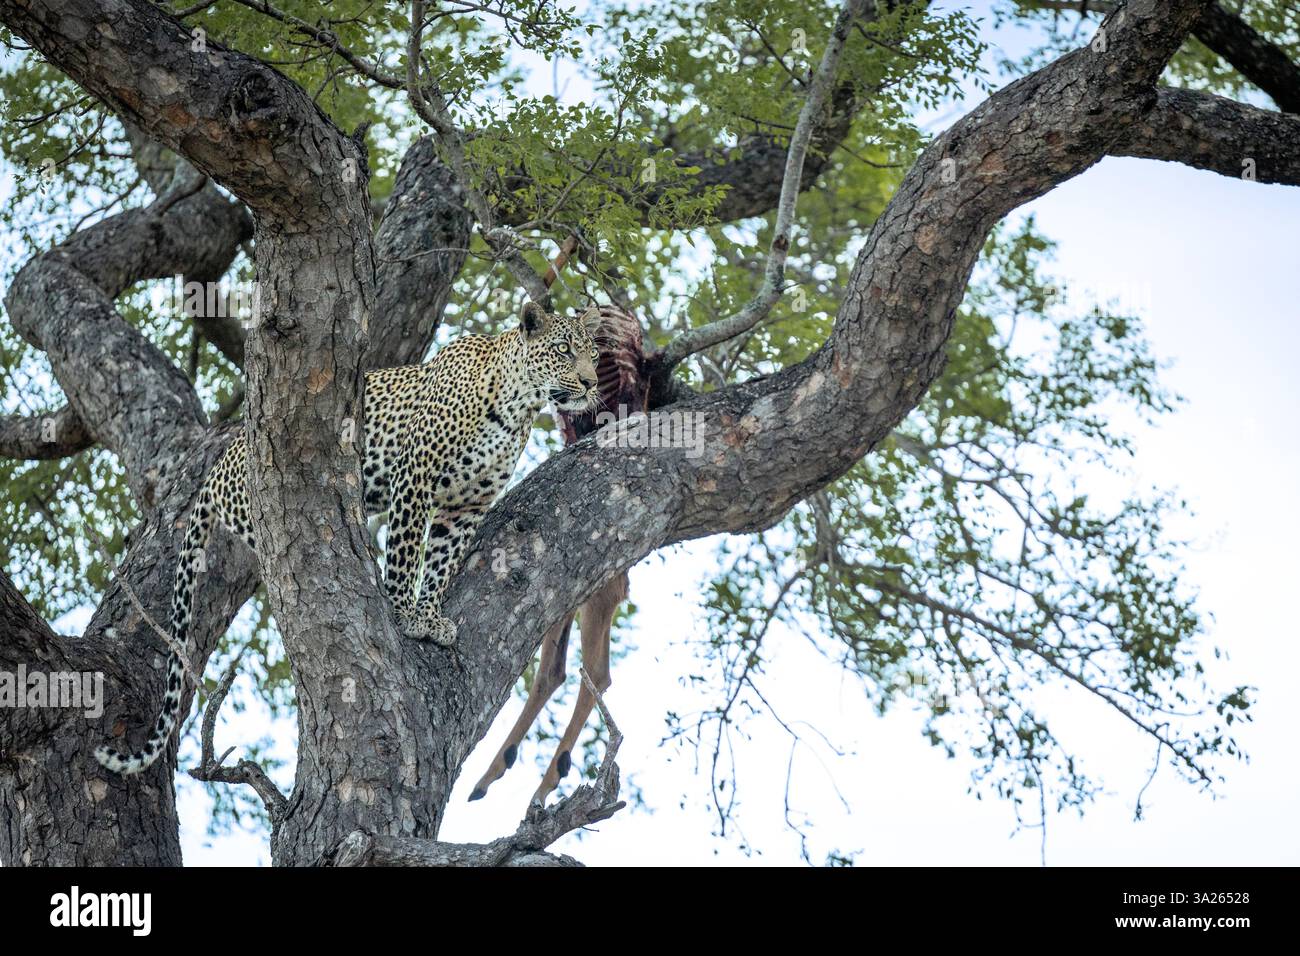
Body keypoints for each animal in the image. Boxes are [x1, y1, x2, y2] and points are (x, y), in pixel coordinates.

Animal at [95, 301, 601, 776]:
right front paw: (403, 612)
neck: (518, 405)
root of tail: (219, 465)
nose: (591, 383)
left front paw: (430, 616)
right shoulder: (414, 477)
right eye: (563, 350)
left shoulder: (465, 507)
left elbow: (439, 564)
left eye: (593, 354)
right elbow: (406, 553)